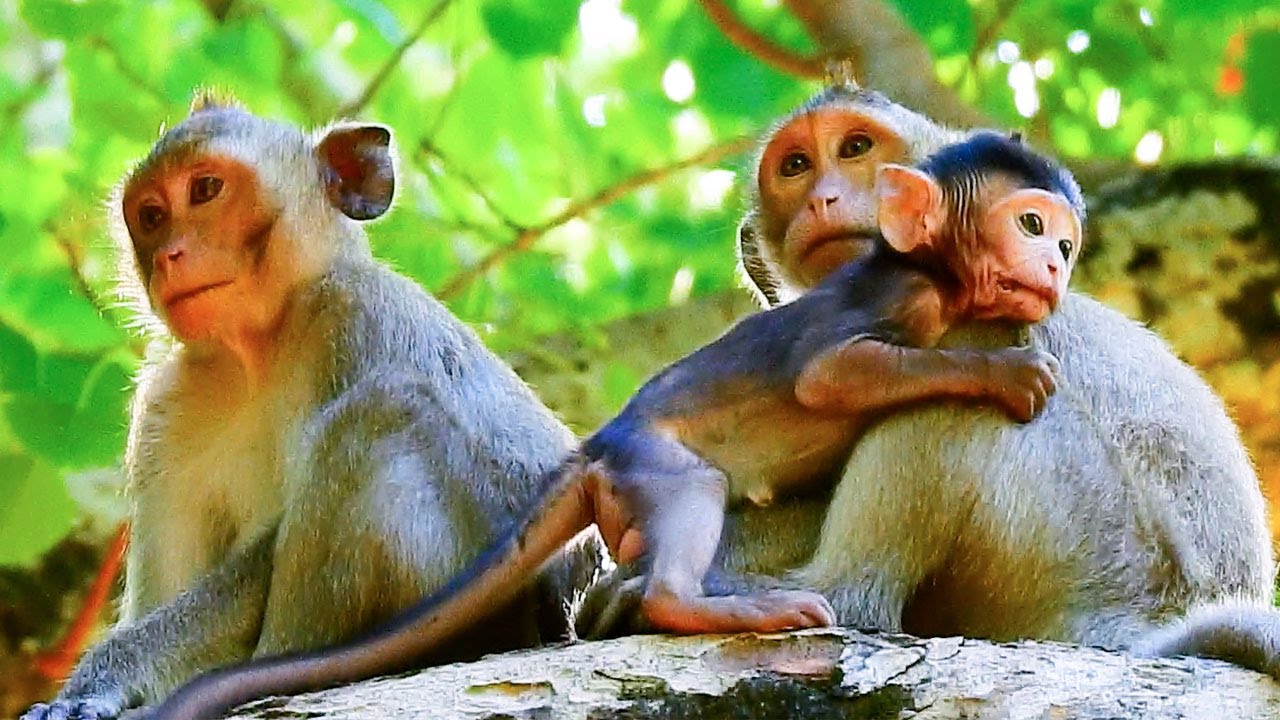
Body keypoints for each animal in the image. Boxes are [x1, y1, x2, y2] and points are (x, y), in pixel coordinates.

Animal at [20, 95, 605, 720]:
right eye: (151, 216)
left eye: (205, 189)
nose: (170, 256)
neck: (256, 351)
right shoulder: (167, 407)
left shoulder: (355, 315)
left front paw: (100, 678)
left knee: (381, 410)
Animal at [137, 129, 1085, 720]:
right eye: (1031, 224)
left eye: (1065, 243)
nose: (1053, 266)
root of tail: (597, 446)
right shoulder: (905, 298)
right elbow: (831, 374)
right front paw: (1000, 371)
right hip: (654, 466)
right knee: (692, 500)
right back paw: (698, 605)